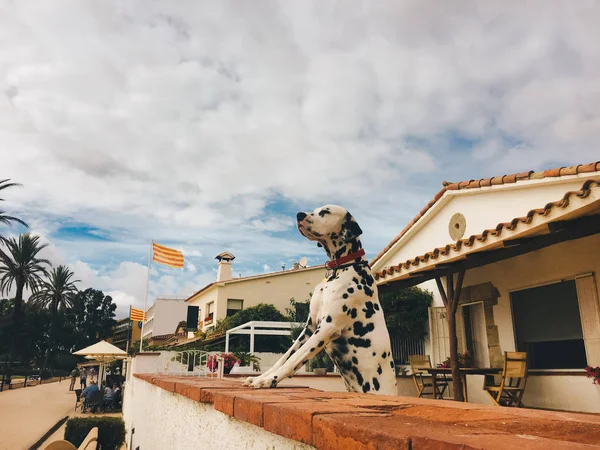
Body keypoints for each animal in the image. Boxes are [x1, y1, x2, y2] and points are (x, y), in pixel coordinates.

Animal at [244, 206, 398, 396]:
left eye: (325, 211)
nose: (299, 215)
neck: (341, 269)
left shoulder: (326, 327)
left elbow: (294, 359)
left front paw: (267, 380)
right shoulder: (309, 328)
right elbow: (284, 357)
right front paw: (260, 377)